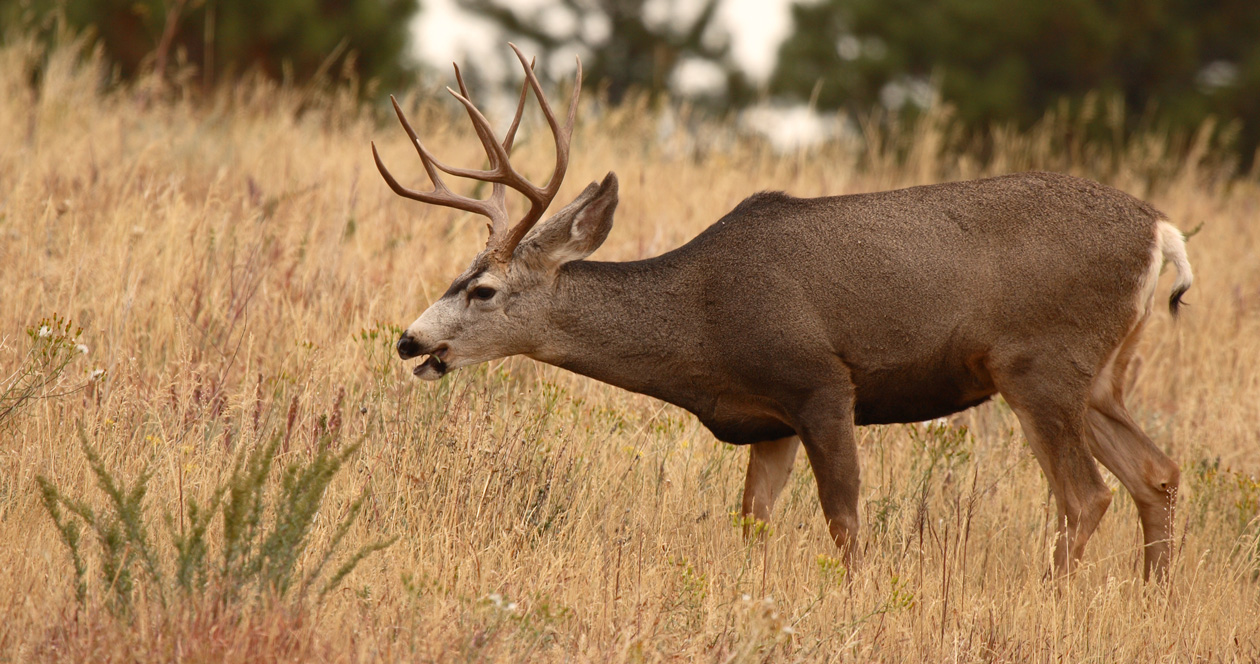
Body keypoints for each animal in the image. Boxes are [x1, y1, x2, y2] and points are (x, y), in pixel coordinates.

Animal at [374, 45, 1193, 581]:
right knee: (1156, 473)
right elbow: (752, 521)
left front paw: (858, 599)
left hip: (1038, 364)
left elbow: (845, 517)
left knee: (1085, 496)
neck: (701, 320)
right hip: (1100, 374)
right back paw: (1151, 598)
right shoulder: (768, 423)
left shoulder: (820, 382)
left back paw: (1060, 596)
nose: (409, 341)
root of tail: (1162, 230)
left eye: (482, 290)